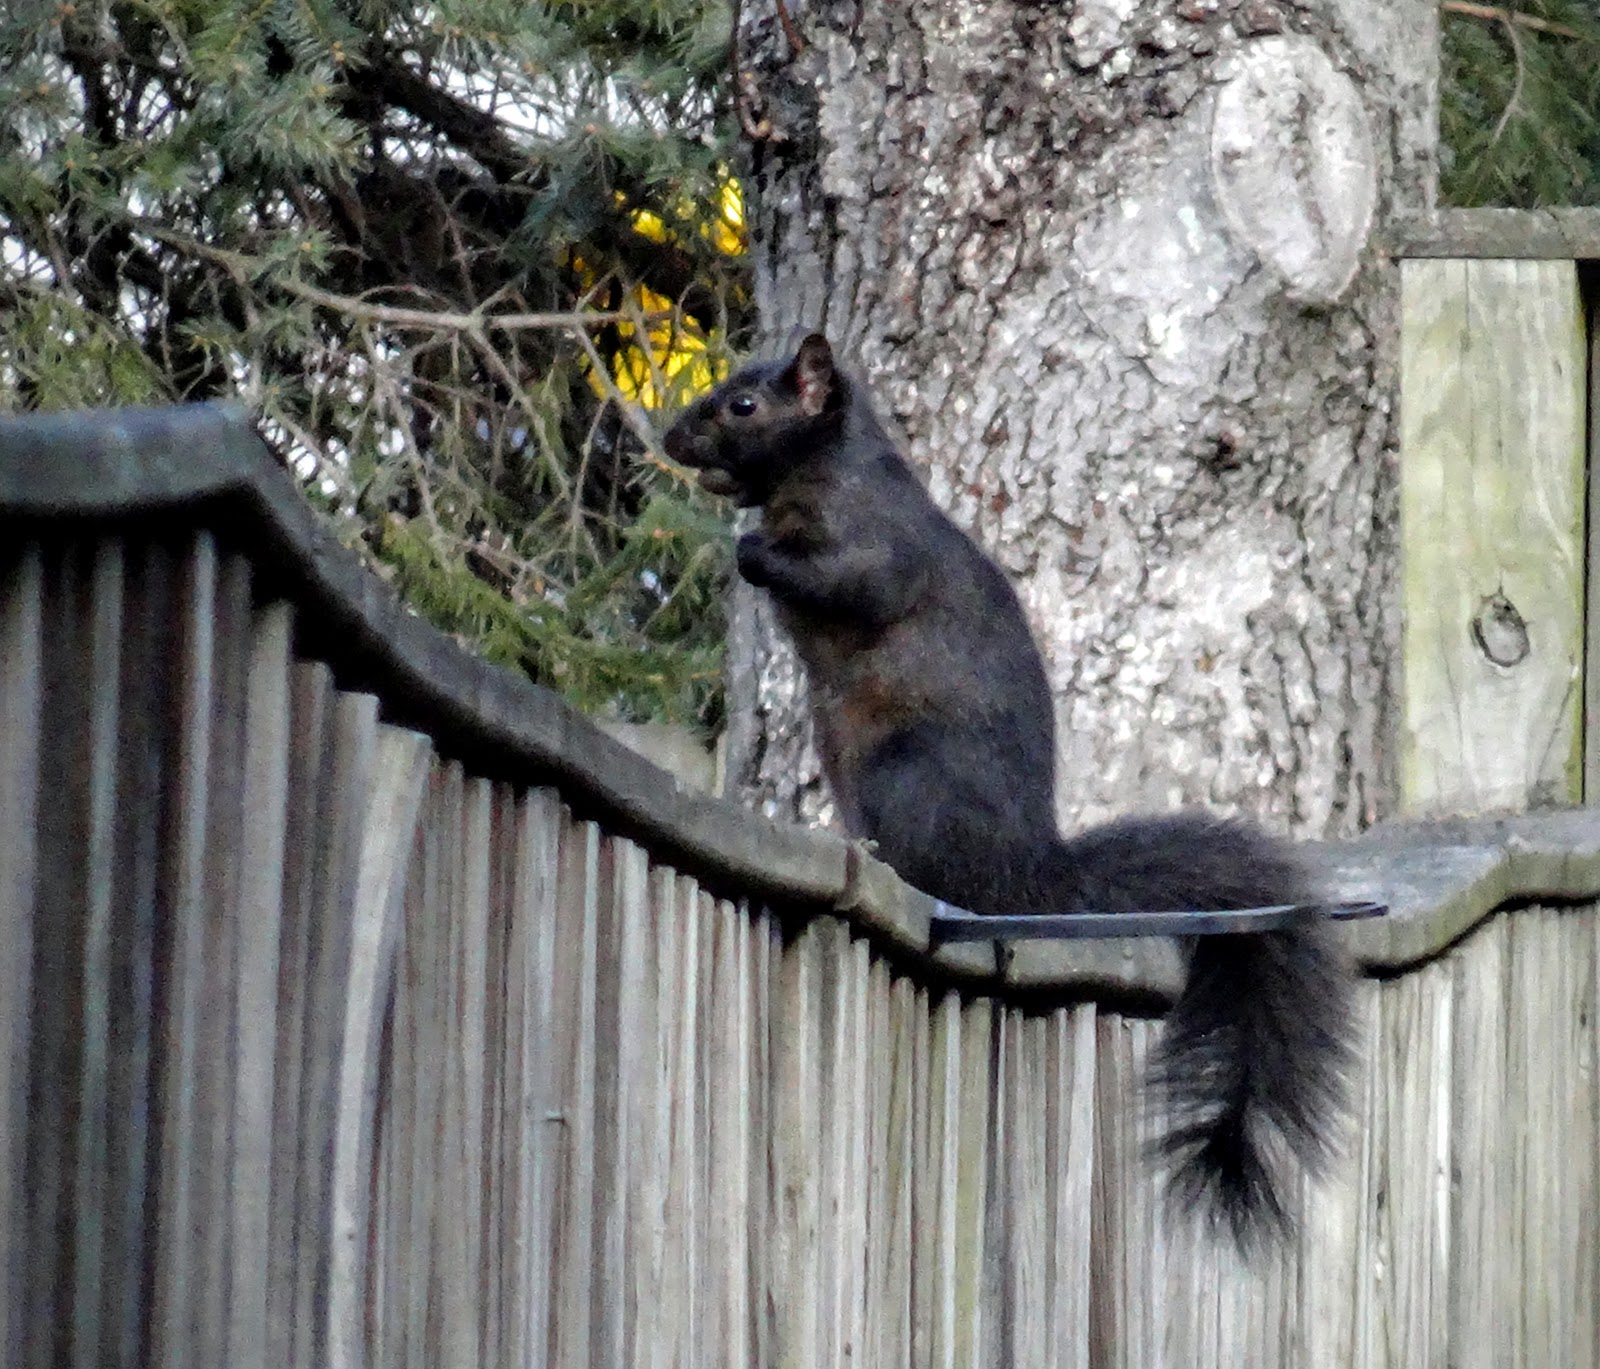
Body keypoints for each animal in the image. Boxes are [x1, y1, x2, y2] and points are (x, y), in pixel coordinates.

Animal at [663, 332, 1355, 1246]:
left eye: (744, 406)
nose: (671, 439)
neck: (816, 470)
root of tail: (1028, 872)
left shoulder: (873, 543)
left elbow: (851, 582)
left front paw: (751, 553)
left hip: (905, 771)